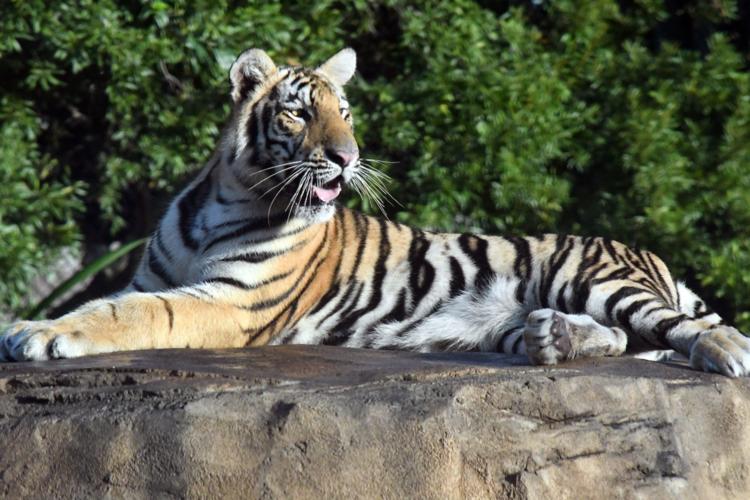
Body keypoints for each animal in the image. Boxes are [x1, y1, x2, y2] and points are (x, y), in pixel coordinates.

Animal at [2, 48, 749, 377]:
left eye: (346, 112)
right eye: (300, 112)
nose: (346, 157)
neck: (225, 195)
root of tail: (647, 253)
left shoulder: (232, 301)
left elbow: (127, 314)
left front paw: (36, 332)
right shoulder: (155, 276)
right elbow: (114, 300)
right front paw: (32, 324)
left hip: (595, 278)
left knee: (676, 328)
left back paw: (725, 353)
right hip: (510, 322)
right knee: (621, 339)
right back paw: (553, 341)